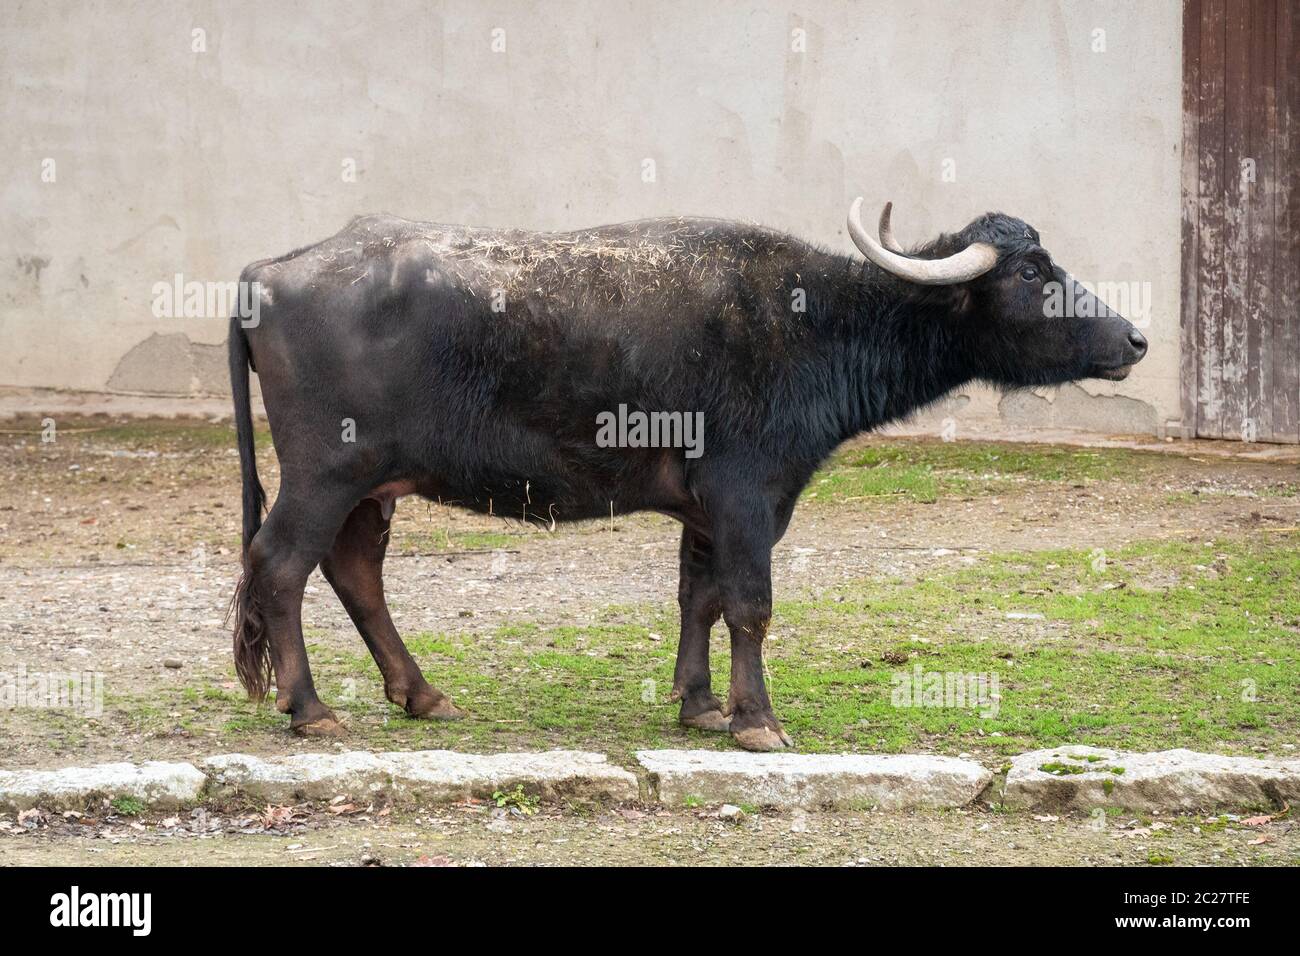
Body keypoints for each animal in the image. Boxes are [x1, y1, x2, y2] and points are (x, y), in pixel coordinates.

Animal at [227, 199, 1147, 751]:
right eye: (1030, 273)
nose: (1134, 339)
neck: (815, 323)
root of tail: (271, 269)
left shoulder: (707, 512)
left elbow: (697, 598)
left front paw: (701, 704)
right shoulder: (748, 497)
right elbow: (750, 606)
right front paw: (758, 721)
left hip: (371, 488)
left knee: (354, 572)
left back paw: (421, 694)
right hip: (326, 471)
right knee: (280, 564)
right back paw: (311, 709)